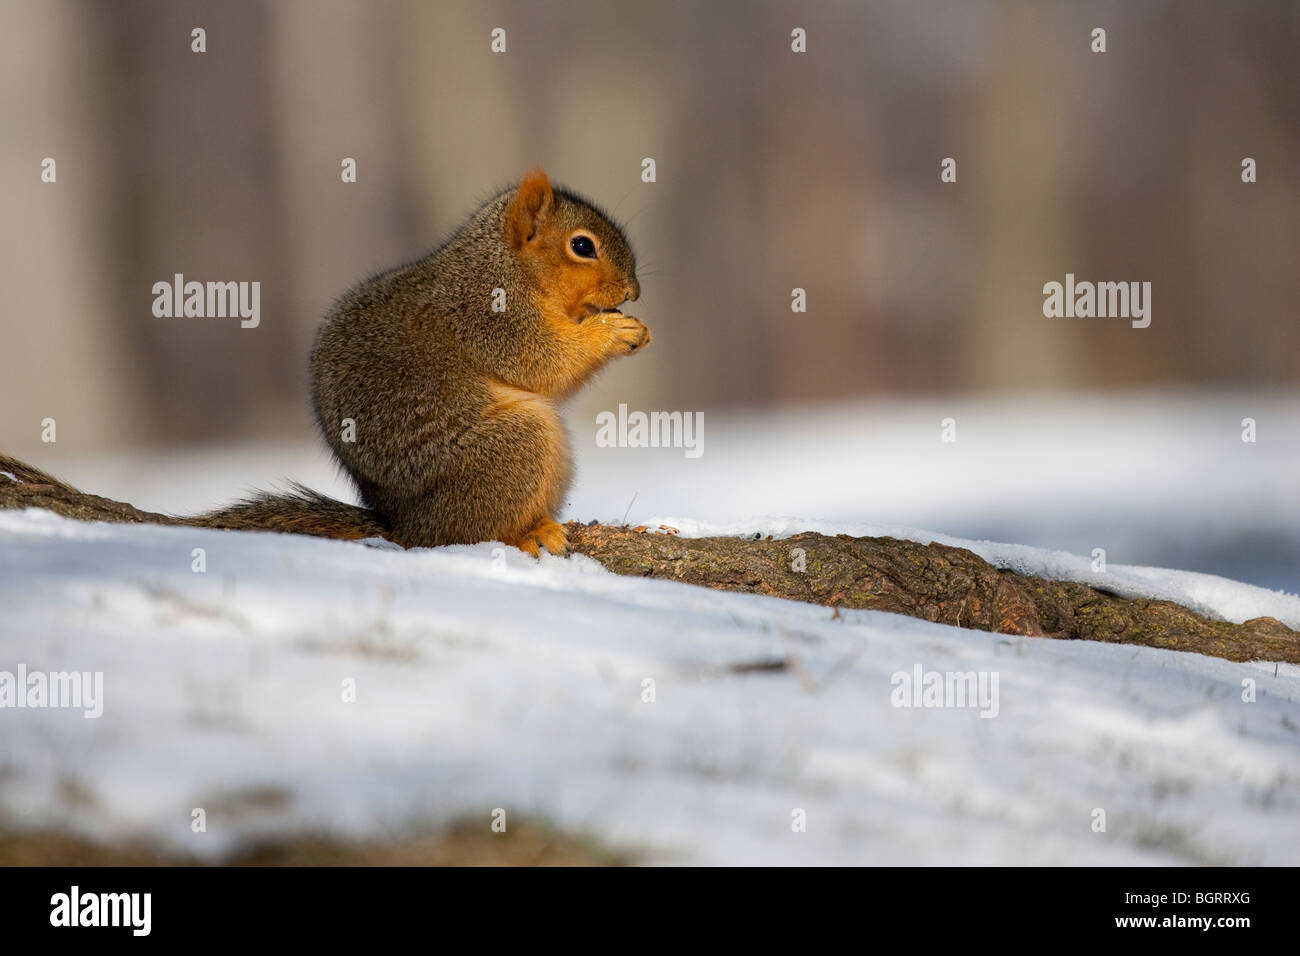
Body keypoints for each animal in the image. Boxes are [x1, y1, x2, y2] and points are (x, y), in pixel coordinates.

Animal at [3, 169, 649, 557]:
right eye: (582, 245)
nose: (634, 292)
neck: (503, 267)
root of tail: (404, 526)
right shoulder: (489, 315)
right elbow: (539, 361)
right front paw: (612, 333)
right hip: (513, 449)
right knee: (465, 532)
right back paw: (528, 533)